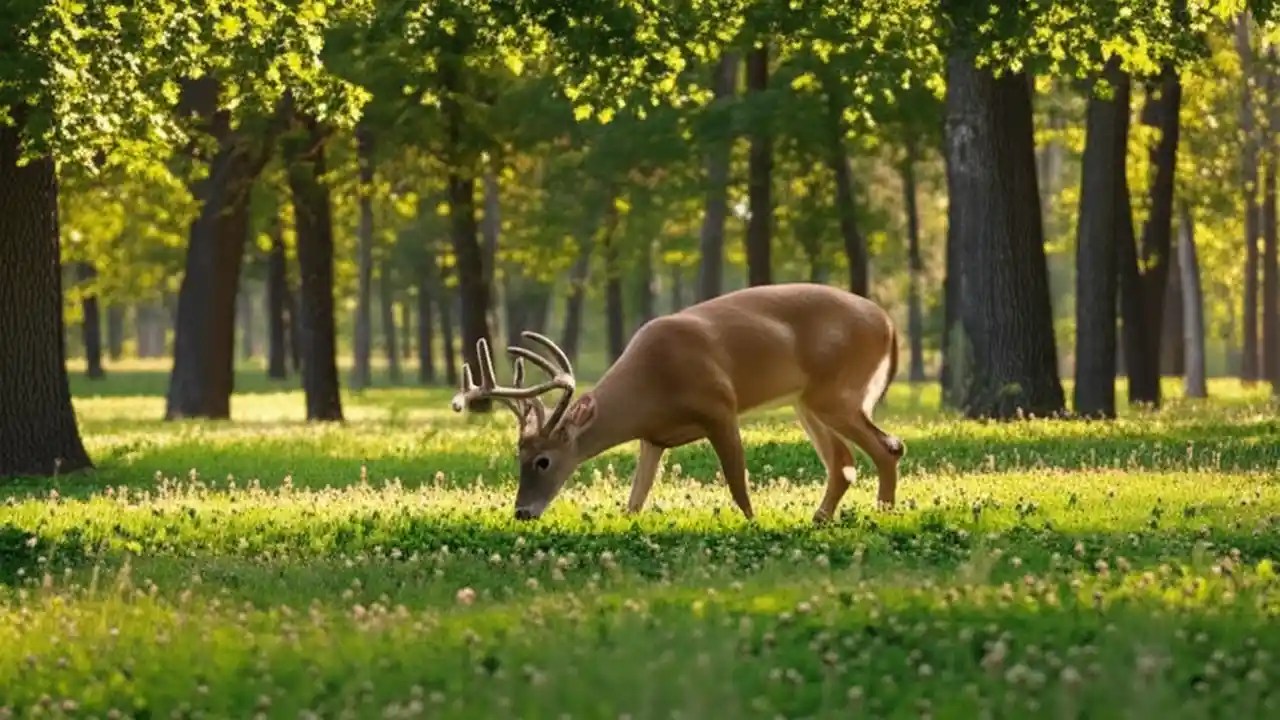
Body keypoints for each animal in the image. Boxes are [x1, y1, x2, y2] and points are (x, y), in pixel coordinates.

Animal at [449, 282, 906, 524]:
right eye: (518, 457)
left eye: (542, 461)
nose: (522, 512)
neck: (652, 385)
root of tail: (888, 324)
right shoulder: (654, 438)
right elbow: (635, 499)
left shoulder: (719, 405)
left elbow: (737, 482)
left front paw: (753, 523)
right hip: (807, 402)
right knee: (844, 462)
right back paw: (820, 519)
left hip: (837, 393)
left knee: (888, 447)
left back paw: (882, 513)